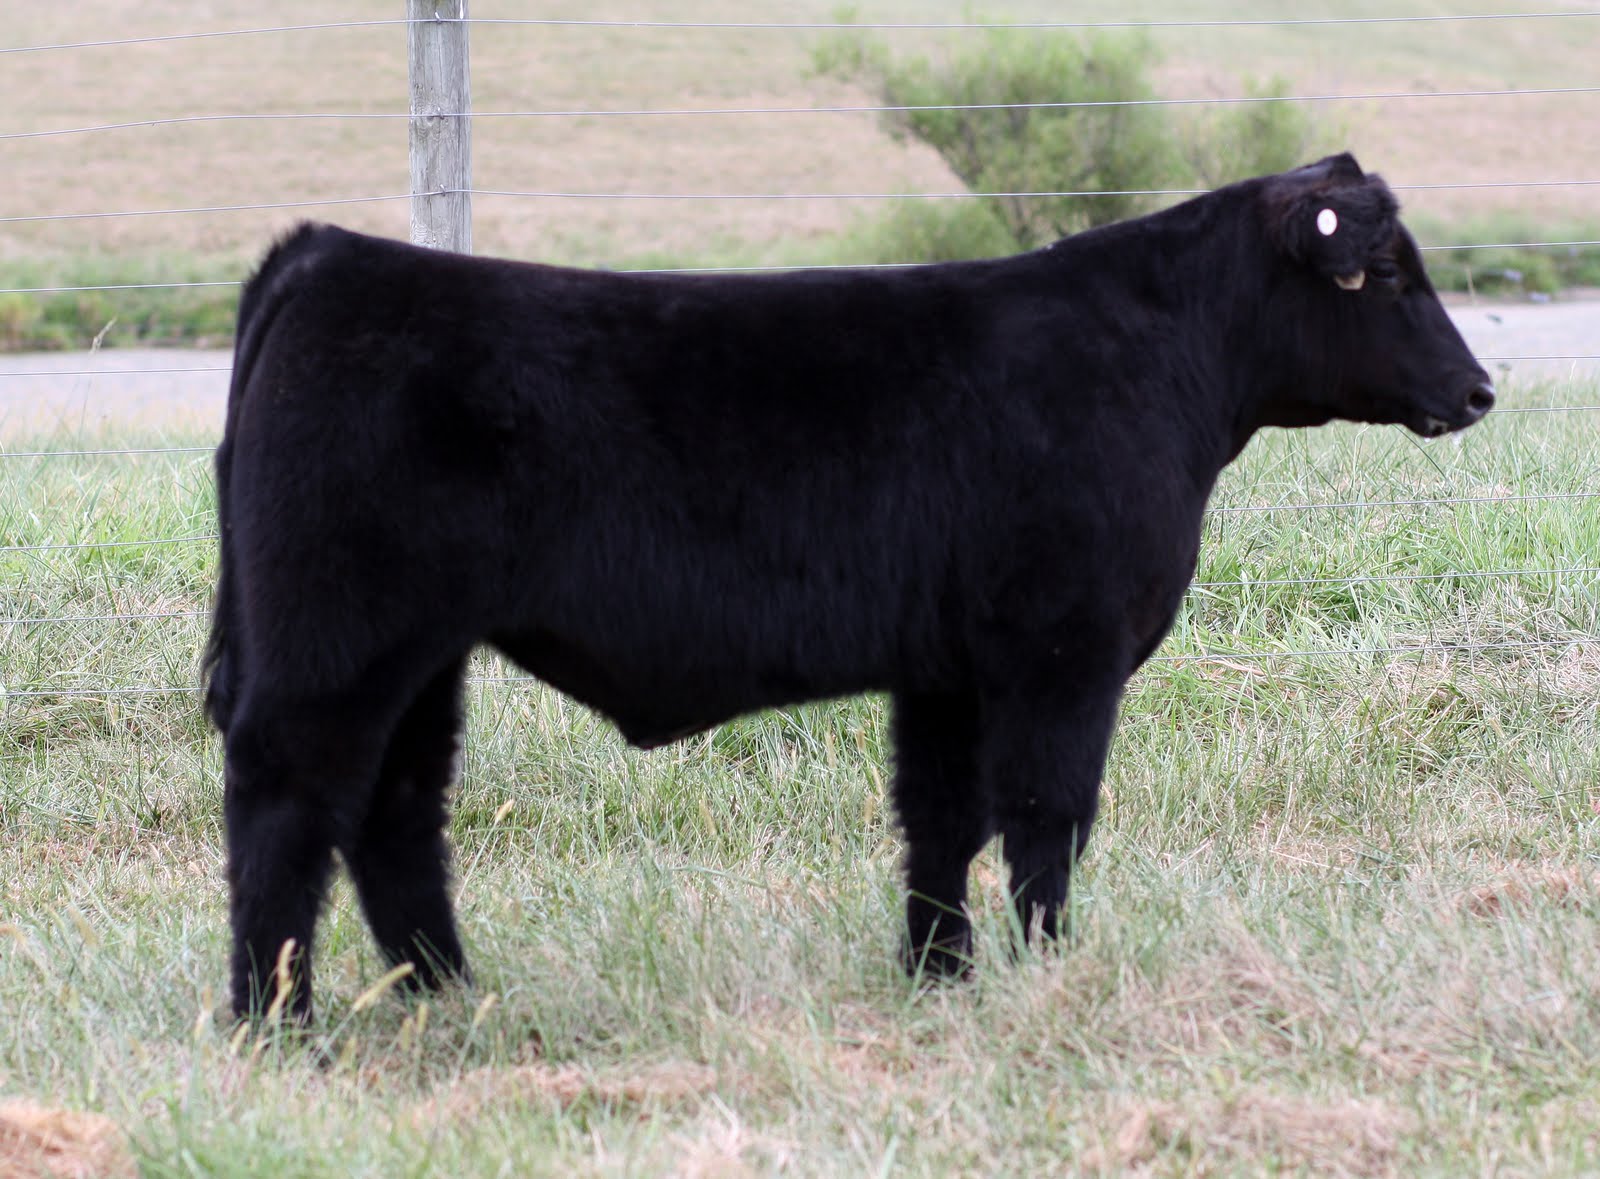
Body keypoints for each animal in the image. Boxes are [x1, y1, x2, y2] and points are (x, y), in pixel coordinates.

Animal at [203, 153, 1493, 1022]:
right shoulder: (1062, 650)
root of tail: (333, 252)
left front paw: (938, 978)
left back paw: (449, 997)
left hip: (422, 652)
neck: (1161, 364)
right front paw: (1045, 972)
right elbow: (1046, 817)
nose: (1478, 388)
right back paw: (280, 1021)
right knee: (290, 802)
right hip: (336, 639)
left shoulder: (948, 669)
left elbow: (939, 819)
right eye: (1382, 272)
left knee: (395, 810)